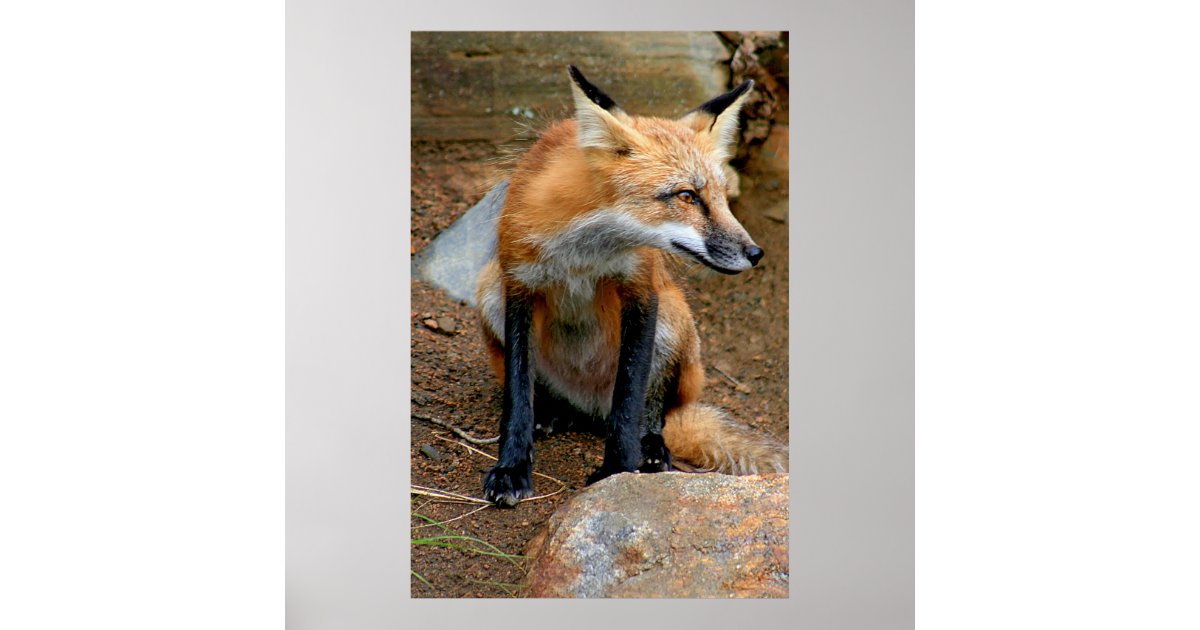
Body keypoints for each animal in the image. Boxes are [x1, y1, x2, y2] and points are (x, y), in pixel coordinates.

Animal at [476, 65, 787, 507]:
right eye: (687, 196)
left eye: (724, 197)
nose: (756, 253)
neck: (582, 253)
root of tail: (590, 405)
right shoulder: (518, 285)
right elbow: (517, 397)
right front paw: (512, 467)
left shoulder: (640, 289)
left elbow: (630, 395)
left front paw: (617, 470)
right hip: (488, 293)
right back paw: (552, 412)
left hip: (674, 322)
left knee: (653, 411)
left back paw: (652, 448)